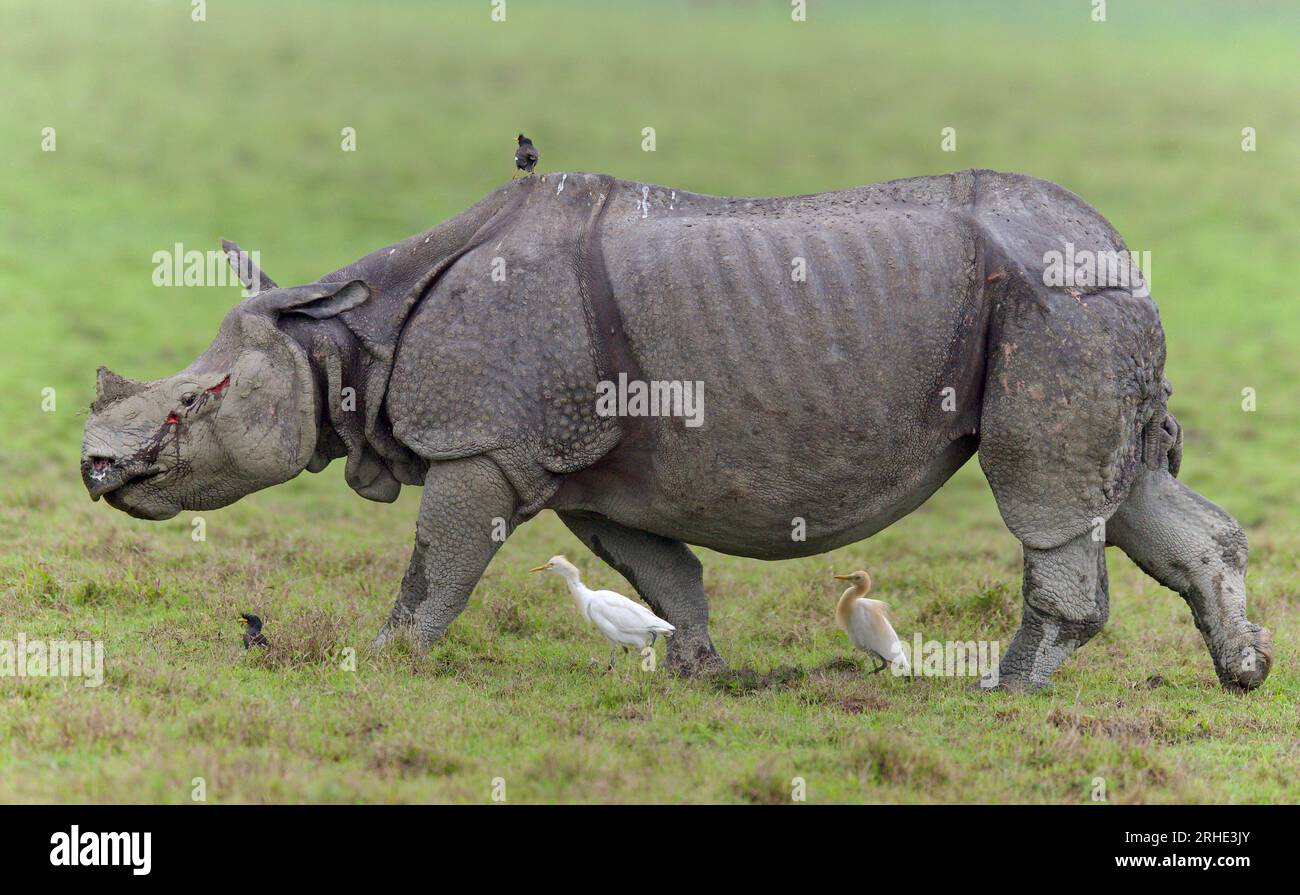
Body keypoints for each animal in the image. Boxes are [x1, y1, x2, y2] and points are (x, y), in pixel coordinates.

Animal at [81, 169, 1272, 691]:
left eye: (193, 405)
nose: (95, 470)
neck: (346, 334)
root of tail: (1116, 245)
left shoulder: (485, 446)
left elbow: (437, 562)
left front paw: (383, 660)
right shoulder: (586, 467)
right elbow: (662, 571)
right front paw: (695, 667)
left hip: (1054, 303)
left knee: (1049, 501)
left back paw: (1006, 689)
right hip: (1080, 304)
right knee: (1132, 498)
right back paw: (1245, 672)